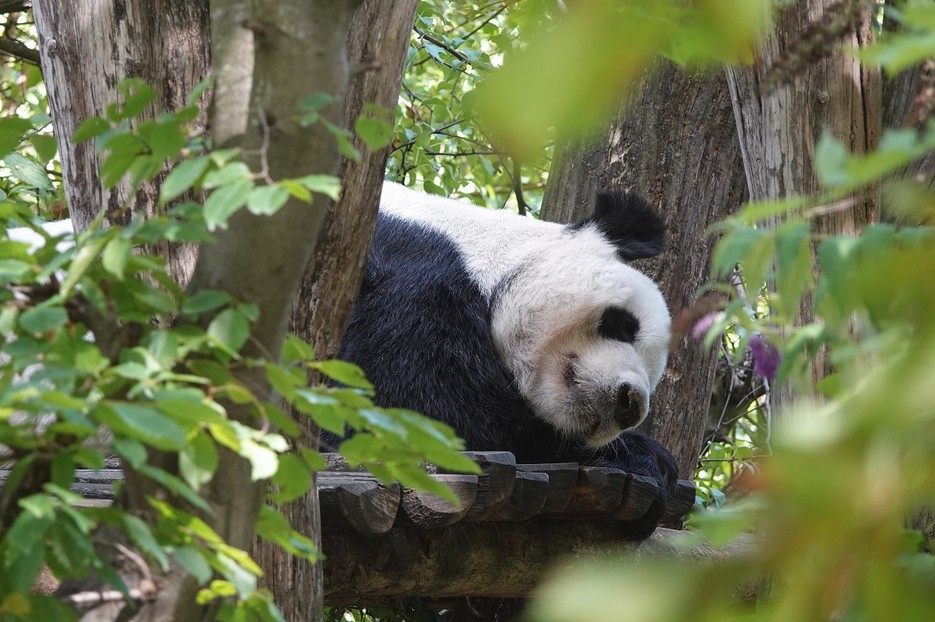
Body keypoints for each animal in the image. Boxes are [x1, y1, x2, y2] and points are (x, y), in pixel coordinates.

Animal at [332, 182, 678, 537]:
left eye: (653, 376)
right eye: (623, 324)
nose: (630, 404)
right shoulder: (413, 280)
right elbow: (419, 411)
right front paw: (645, 457)